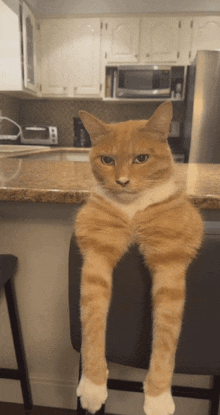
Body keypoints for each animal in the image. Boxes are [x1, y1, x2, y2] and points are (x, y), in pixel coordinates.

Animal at [74, 101, 203, 415]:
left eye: (141, 158)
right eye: (107, 159)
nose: (122, 181)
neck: (133, 210)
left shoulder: (170, 263)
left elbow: (166, 336)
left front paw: (158, 396)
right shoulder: (96, 255)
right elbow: (92, 325)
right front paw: (94, 385)